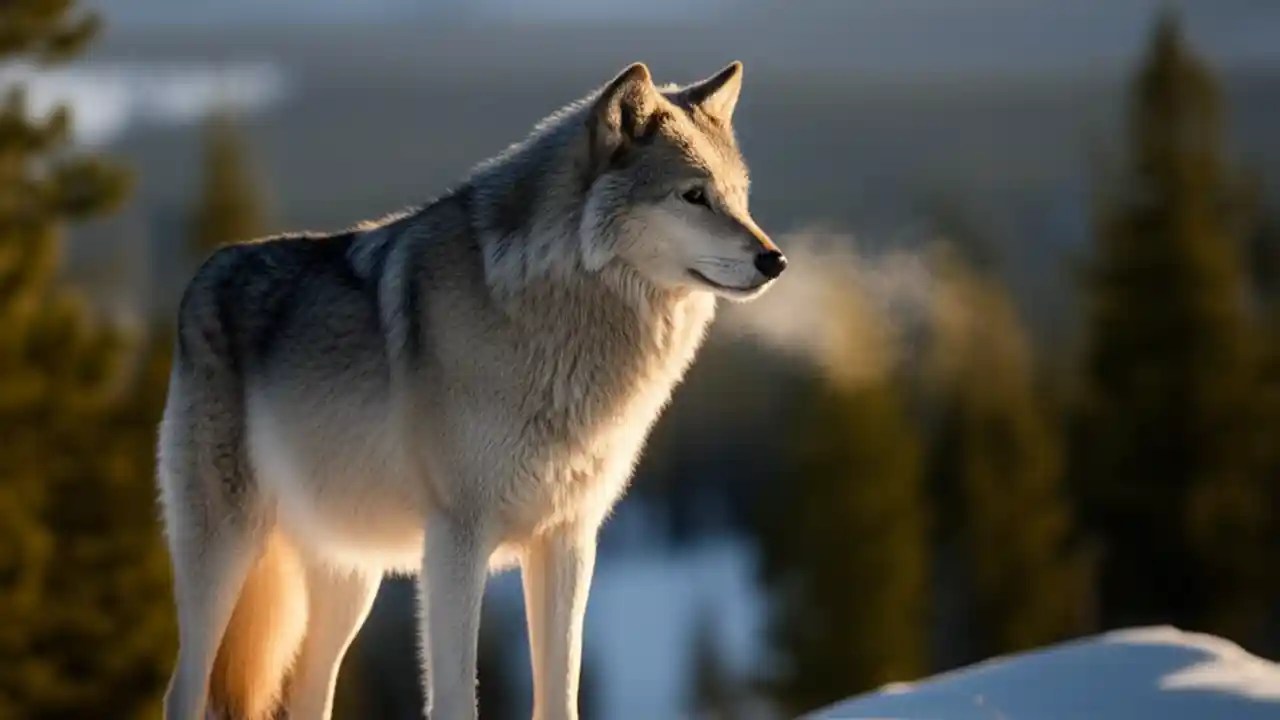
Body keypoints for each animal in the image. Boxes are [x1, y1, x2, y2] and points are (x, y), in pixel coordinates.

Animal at [159, 60, 785, 720]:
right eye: (694, 195)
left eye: (739, 196)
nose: (775, 260)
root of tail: (204, 273)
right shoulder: (456, 542)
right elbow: (458, 694)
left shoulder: (569, 540)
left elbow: (560, 694)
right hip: (225, 555)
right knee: (184, 687)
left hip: (352, 578)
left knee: (307, 695)